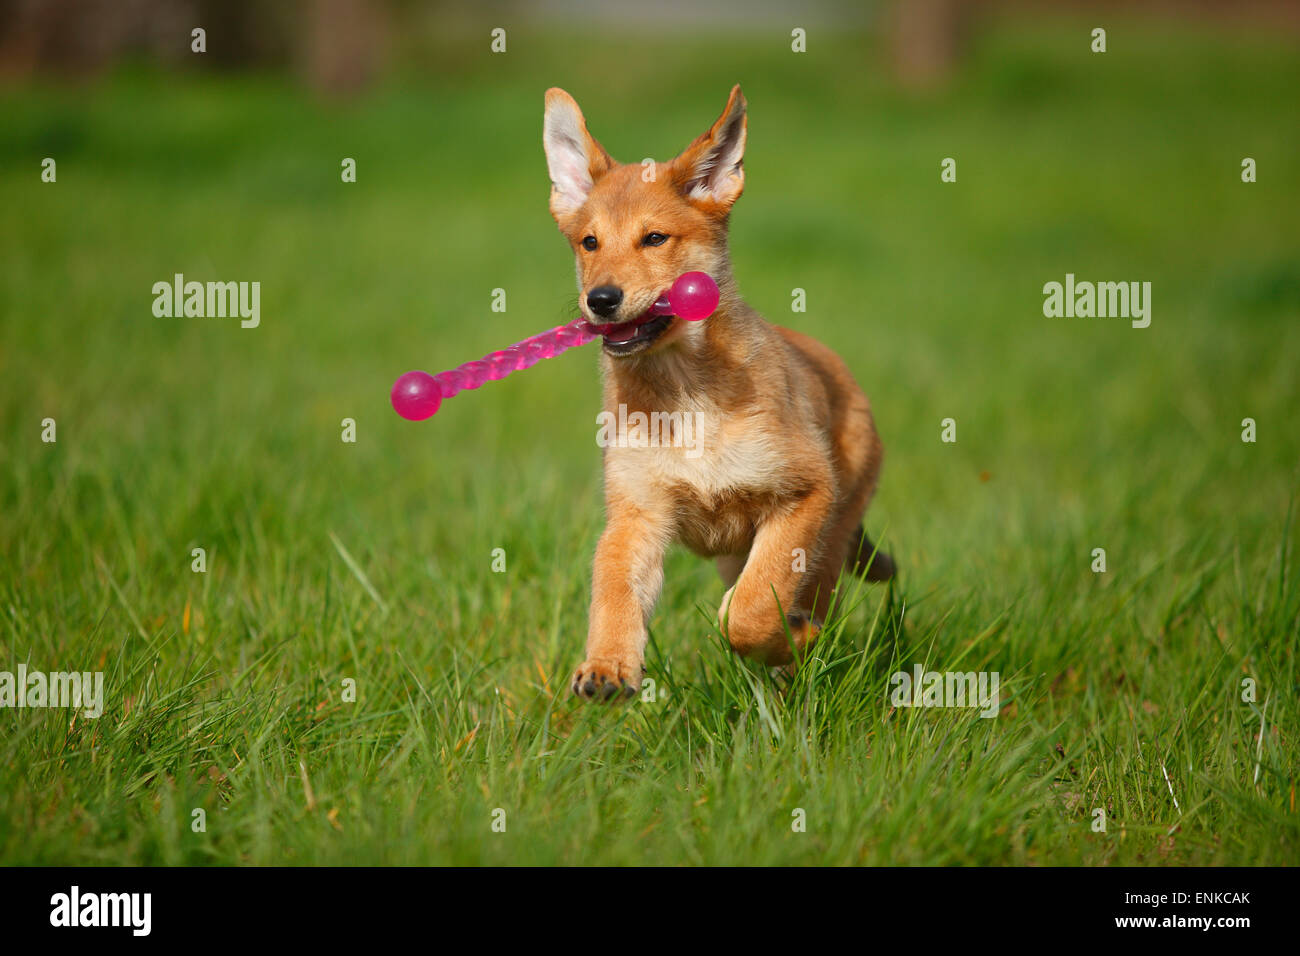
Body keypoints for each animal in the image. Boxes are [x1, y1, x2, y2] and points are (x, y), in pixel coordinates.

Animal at [542, 85, 894, 701]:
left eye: (654, 238)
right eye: (589, 243)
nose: (601, 300)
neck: (685, 395)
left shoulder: (804, 493)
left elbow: (749, 612)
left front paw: (791, 638)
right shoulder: (636, 515)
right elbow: (613, 592)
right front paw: (607, 666)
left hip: (831, 534)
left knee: (814, 600)